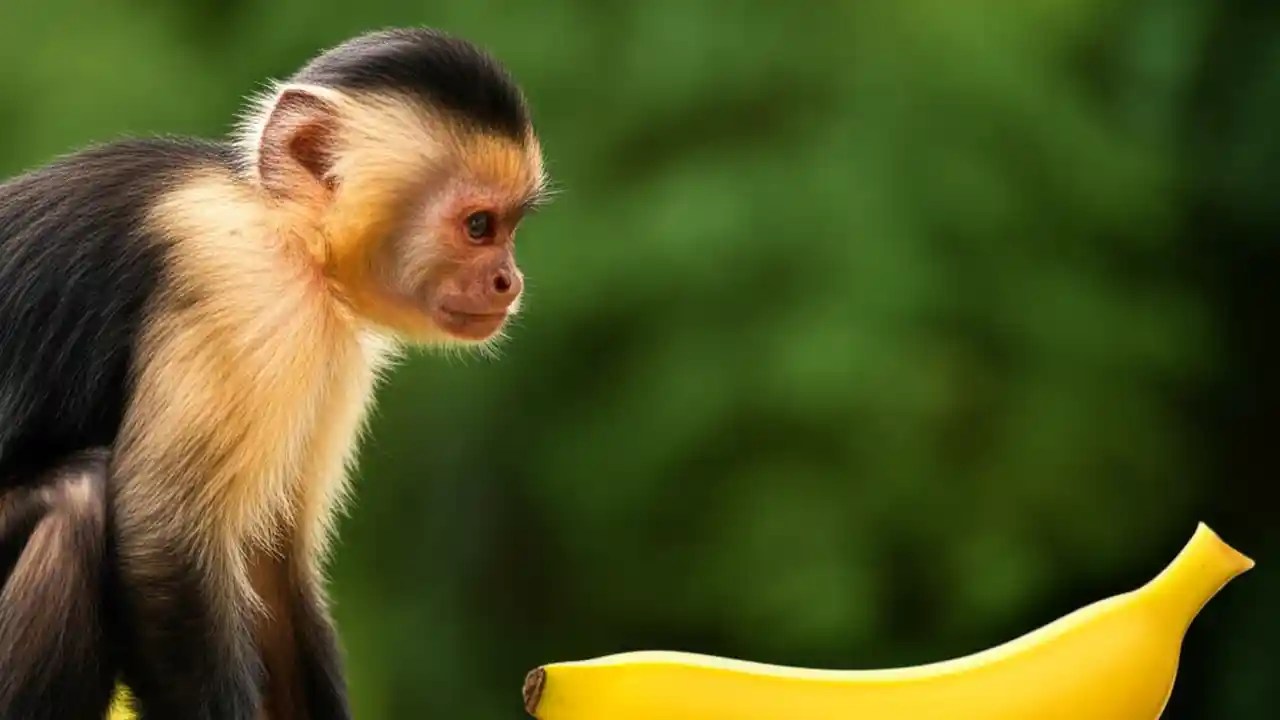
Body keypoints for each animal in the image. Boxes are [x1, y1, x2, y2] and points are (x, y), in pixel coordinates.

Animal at [0, 27, 548, 720]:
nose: (511, 280)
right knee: (78, 500)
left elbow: (271, 572)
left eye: (510, 227)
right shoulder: (245, 286)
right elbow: (164, 547)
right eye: (480, 227)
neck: (285, 228)